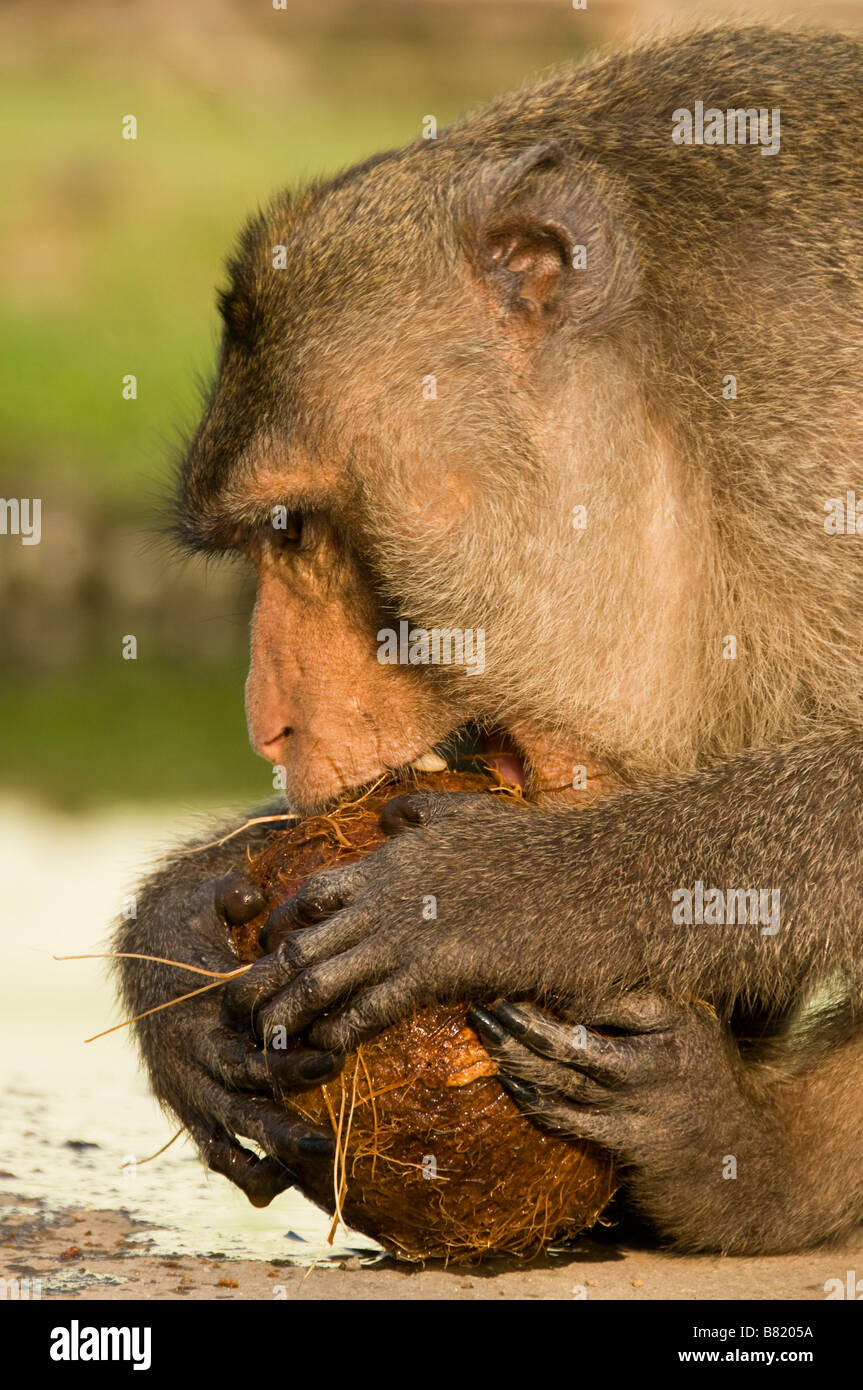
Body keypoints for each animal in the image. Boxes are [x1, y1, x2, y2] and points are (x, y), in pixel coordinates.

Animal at [115, 24, 863, 1254]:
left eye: (289, 527)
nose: (267, 720)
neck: (683, 407)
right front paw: (180, 920)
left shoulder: (815, 442)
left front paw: (504, 894)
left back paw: (745, 1161)